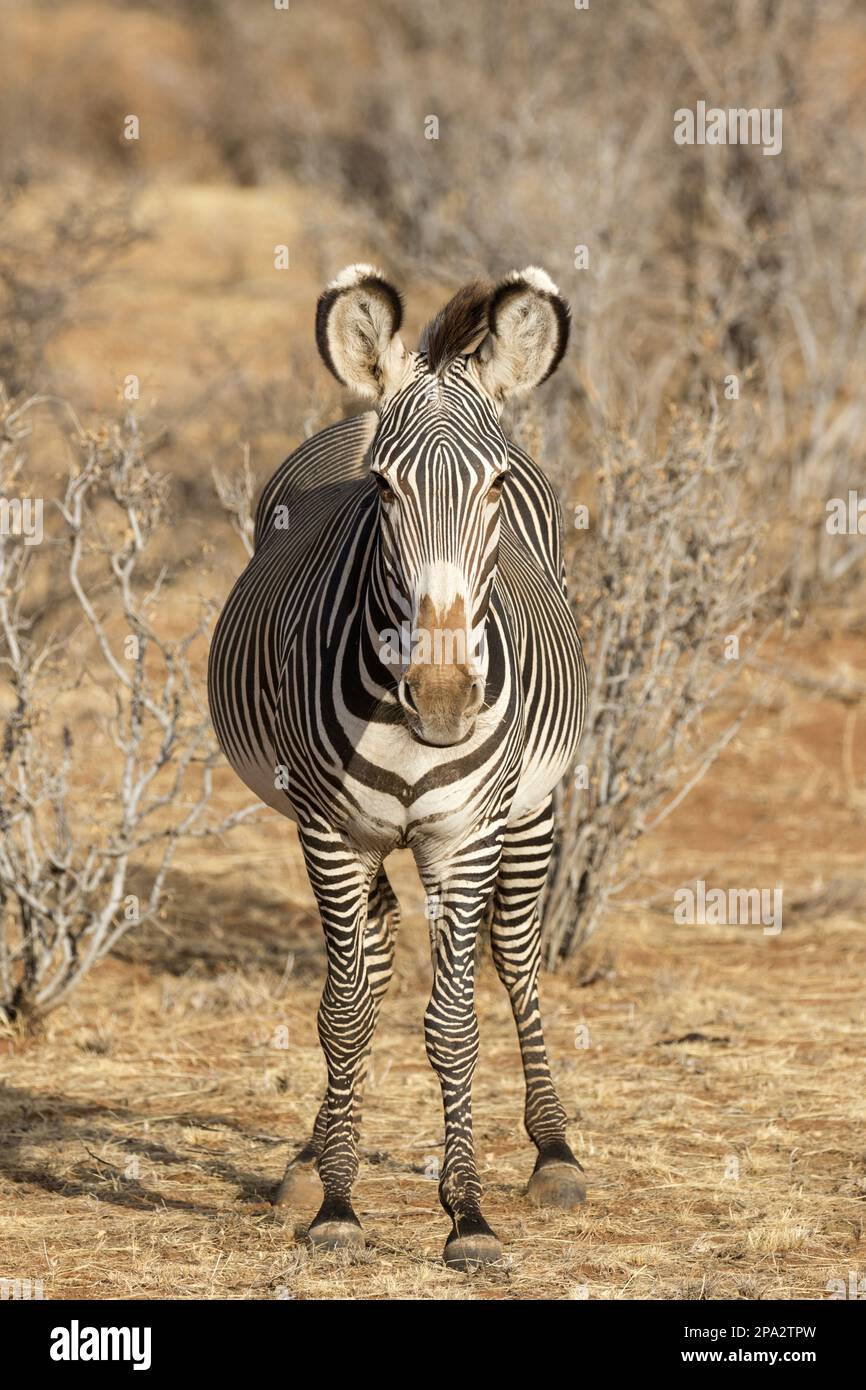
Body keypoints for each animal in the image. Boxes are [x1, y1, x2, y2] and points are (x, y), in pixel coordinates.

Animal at [208, 263, 587, 1270]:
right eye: (381, 490)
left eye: (493, 488)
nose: (446, 697)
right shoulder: (329, 831)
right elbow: (343, 1012)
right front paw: (338, 1203)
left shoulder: (465, 835)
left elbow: (453, 1023)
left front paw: (470, 1216)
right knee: (368, 967)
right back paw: (311, 1158)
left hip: (531, 809)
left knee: (517, 952)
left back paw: (555, 1150)